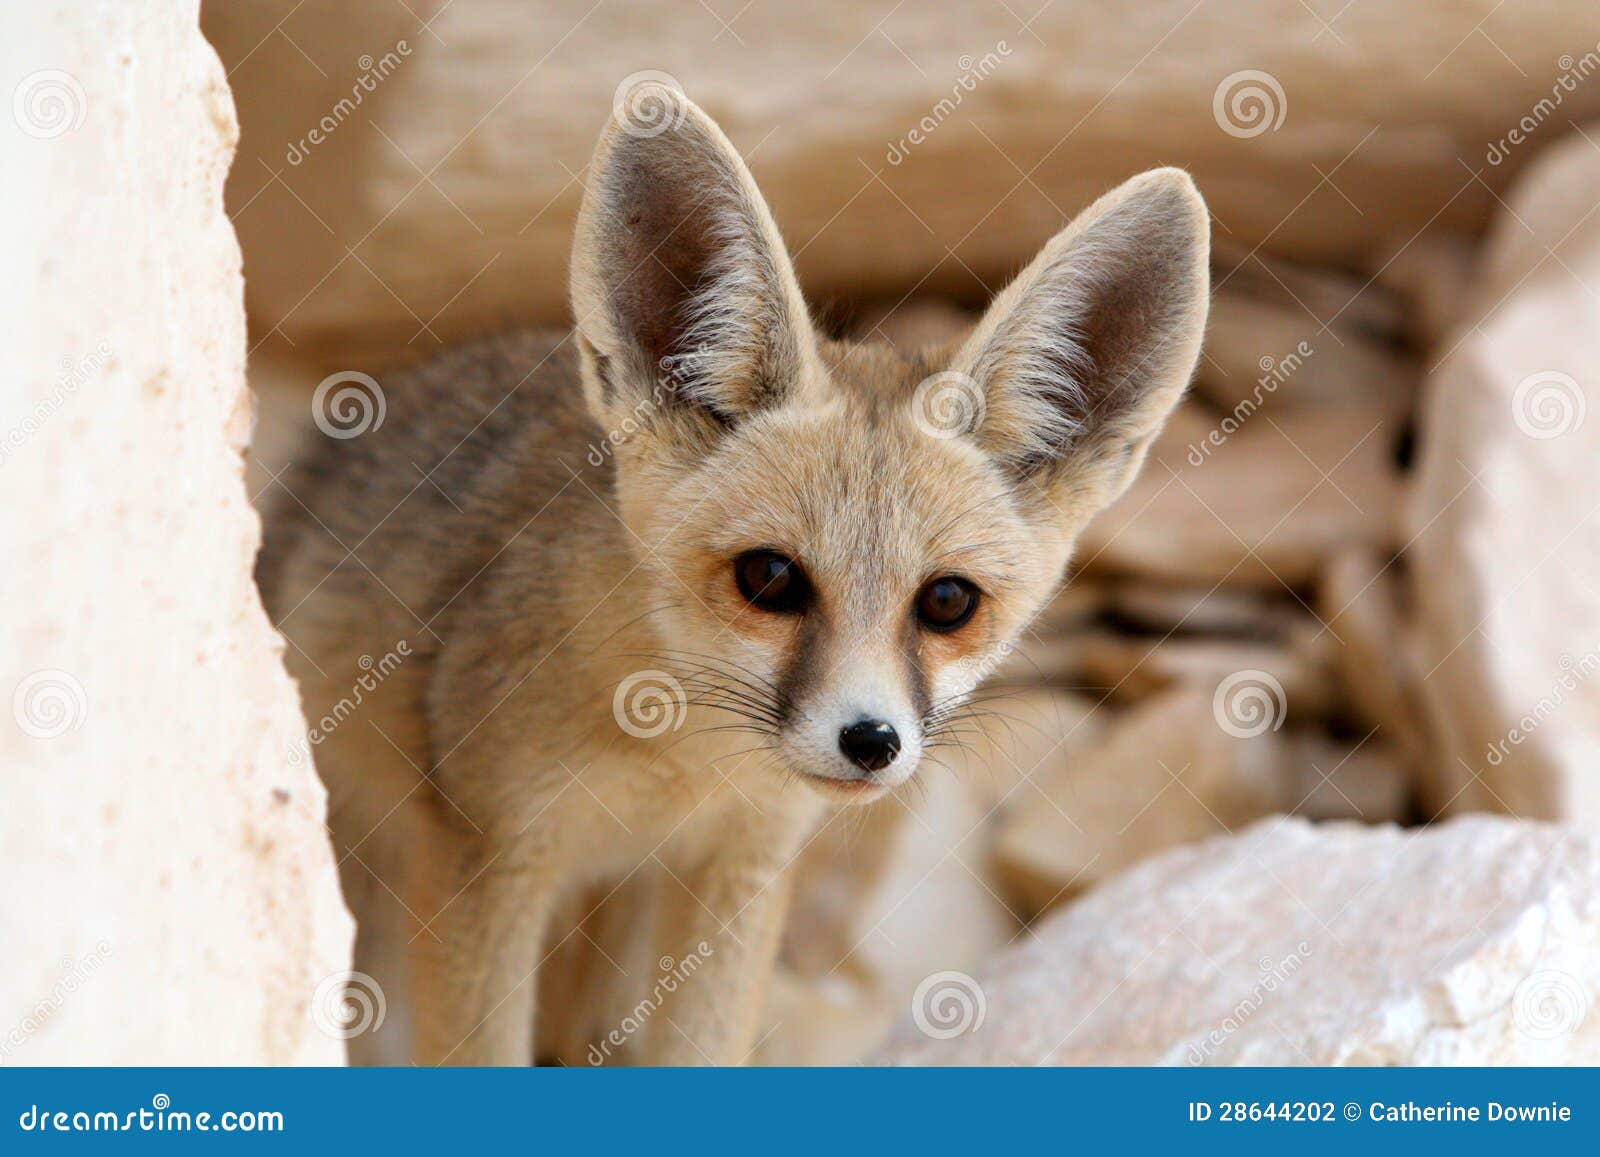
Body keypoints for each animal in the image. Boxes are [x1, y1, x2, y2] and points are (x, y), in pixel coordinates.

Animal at [256, 83, 1209, 1066]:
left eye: (948, 600)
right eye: (770, 578)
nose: (871, 741)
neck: (675, 768)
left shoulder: (742, 863)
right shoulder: (490, 857)